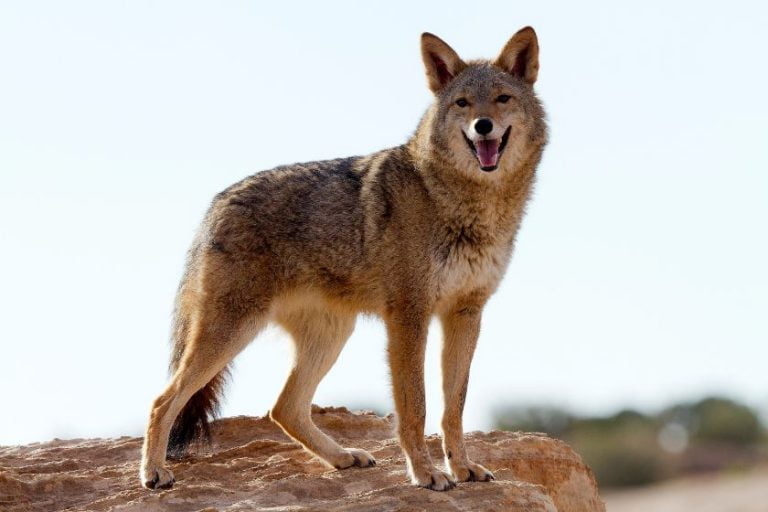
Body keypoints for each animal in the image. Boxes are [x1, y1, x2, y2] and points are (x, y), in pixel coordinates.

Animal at [140, 26, 547, 492]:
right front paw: (426, 474)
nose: (483, 127)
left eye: (502, 98)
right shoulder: (409, 315)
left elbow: (453, 409)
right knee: (163, 400)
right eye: (462, 103)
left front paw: (462, 468)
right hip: (231, 332)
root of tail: (217, 201)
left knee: (283, 408)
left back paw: (342, 457)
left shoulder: (466, 313)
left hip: (331, 335)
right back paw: (153, 472)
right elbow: (415, 407)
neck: (469, 206)